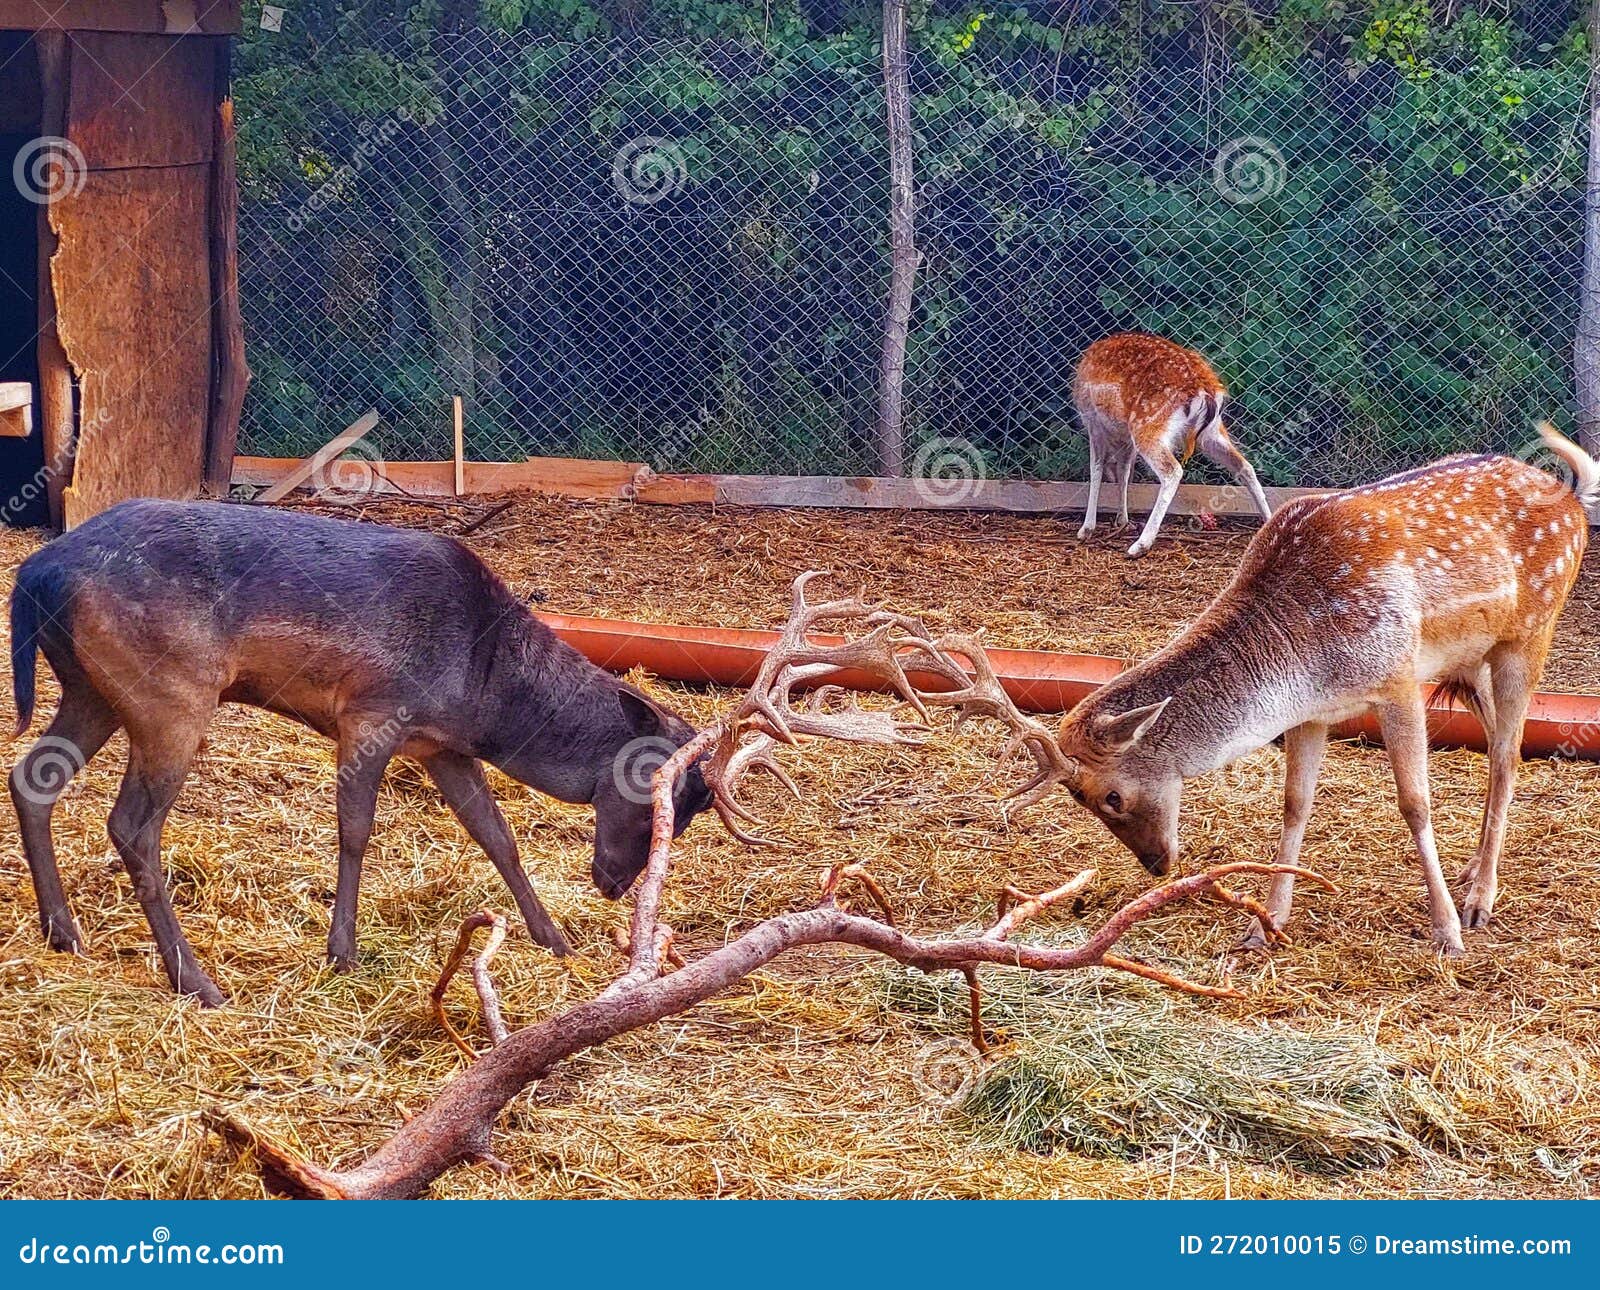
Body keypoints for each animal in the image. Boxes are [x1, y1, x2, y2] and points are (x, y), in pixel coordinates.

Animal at [8, 499, 714, 1005]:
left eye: (687, 814)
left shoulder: (441, 746)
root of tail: (34, 574)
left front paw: (555, 940)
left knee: (31, 777)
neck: (484, 693)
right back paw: (198, 982)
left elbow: (496, 833)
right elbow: (355, 829)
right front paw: (341, 952)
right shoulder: (372, 713)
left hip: (93, 692)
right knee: (131, 823)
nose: (615, 884)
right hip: (170, 696)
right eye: (656, 796)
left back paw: (62, 931)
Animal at [1031, 425, 1597, 955]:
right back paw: (1472, 872)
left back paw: (1479, 901)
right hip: (1468, 661)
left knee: (1505, 755)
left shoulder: (1398, 680)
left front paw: (1446, 932)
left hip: (1529, 635)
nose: (1156, 865)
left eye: (1112, 796)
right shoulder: (1311, 712)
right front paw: (1263, 927)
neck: (1304, 660)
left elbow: (1415, 804)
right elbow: (1295, 803)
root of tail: (1570, 497)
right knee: (1505, 746)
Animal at [1073, 332, 1273, 557]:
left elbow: (1096, 469)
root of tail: (1205, 390)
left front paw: (1086, 529)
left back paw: (1140, 545)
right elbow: (1123, 472)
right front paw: (1122, 521)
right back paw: (1269, 521)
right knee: (1244, 465)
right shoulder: (1125, 437)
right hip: (1211, 433)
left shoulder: (1093, 422)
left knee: (1172, 470)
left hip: (1147, 424)